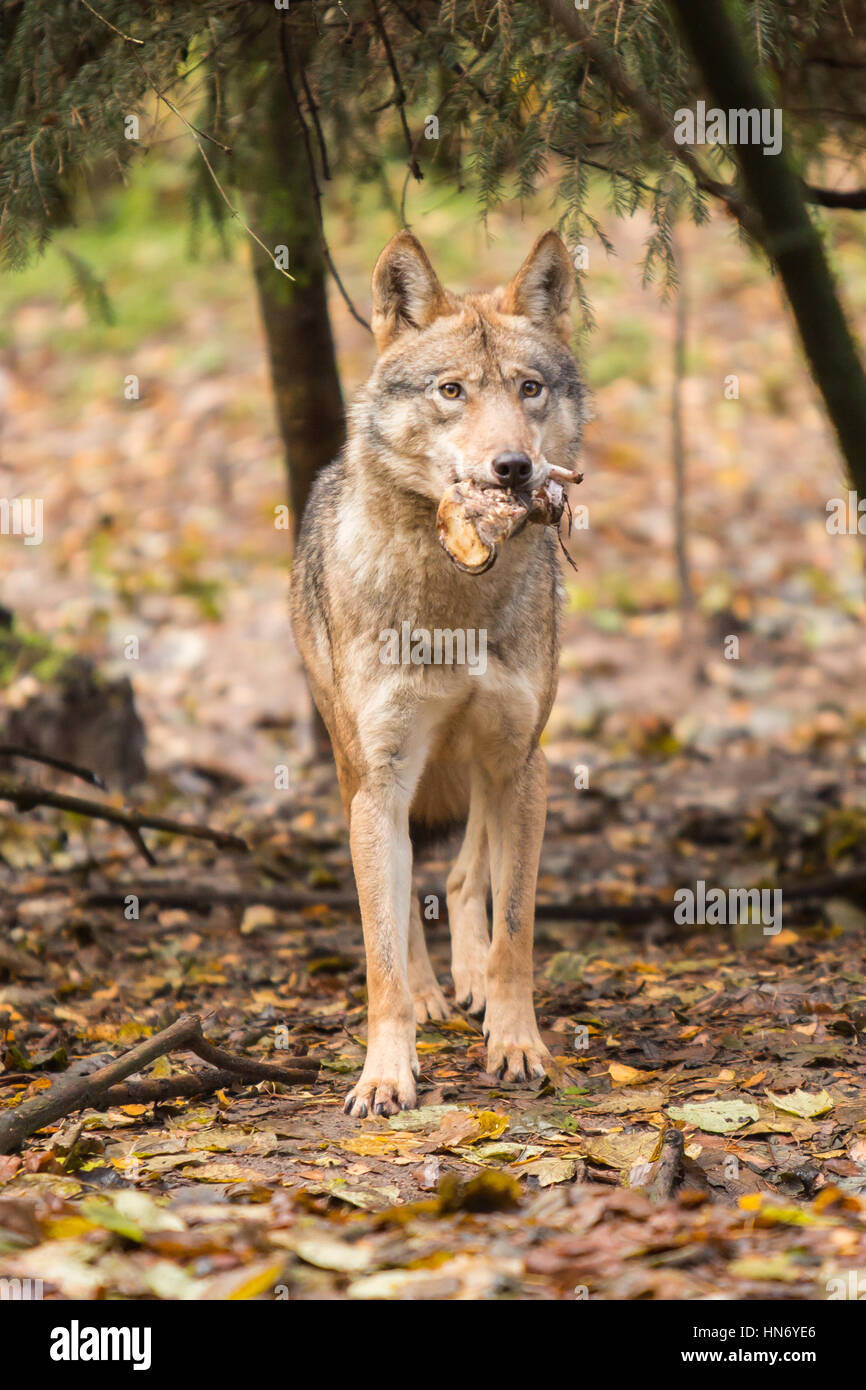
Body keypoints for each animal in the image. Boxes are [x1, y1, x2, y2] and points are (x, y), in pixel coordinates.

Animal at [290, 229, 585, 1117]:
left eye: (528, 389)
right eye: (452, 391)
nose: (514, 468)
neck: (457, 593)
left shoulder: (523, 763)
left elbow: (515, 931)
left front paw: (519, 1047)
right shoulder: (382, 777)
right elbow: (381, 950)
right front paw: (386, 1074)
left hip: (486, 771)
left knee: (460, 878)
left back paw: (471, 985)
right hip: (359, 770)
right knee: (404, 900)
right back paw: (430, 995)